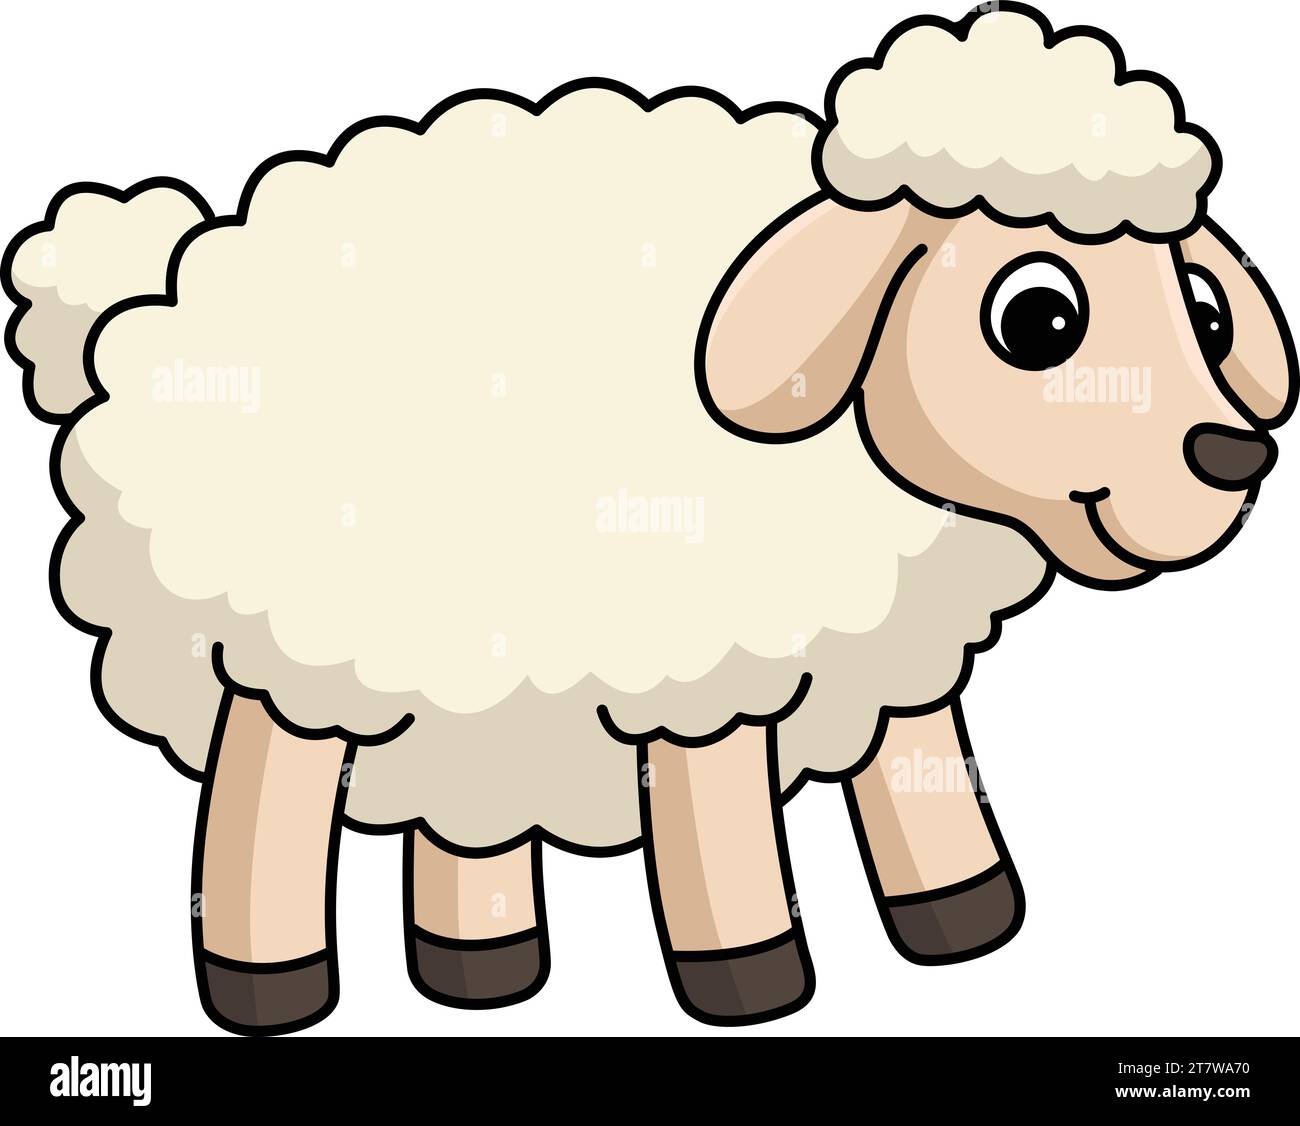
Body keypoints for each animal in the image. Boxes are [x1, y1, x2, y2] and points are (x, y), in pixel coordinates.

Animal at [3, 2, 1294, 1034]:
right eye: (1037, 318)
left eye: (1207, 311)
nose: (1234, 453)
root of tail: (144, 303)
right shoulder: (705, 668)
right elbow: (720, 828)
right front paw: (753, 980)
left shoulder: (887, 650)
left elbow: (921, 777)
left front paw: (966, 922)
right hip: (297, 647)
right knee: (263, 793)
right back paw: (270, 986)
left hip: (468, 674)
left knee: (465, 815)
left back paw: (482, 967)